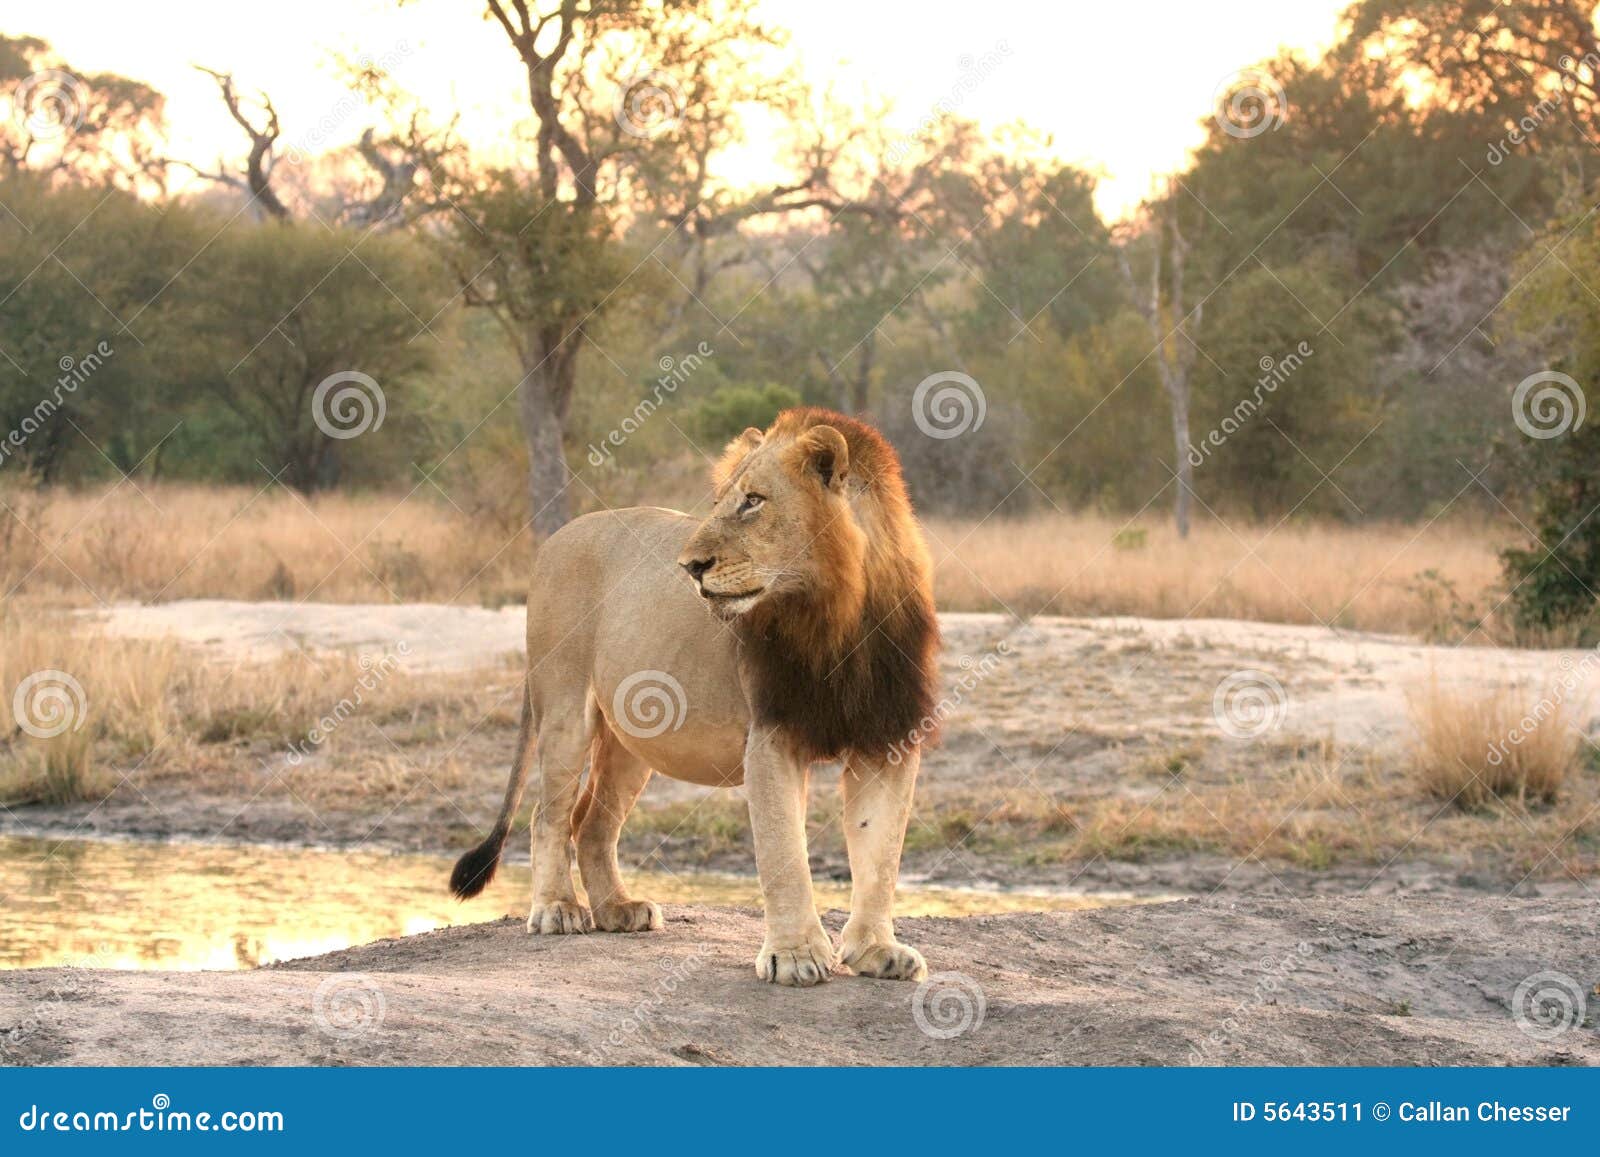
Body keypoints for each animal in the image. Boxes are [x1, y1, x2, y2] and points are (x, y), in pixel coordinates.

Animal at [449, 407, 940, 987]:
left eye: (753, 501)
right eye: (720, 501)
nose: (690, 566)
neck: (841, 616)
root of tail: (555, 537)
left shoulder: (888, 738)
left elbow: (880, 854)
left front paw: (876, 951)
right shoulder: (771, 736)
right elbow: (784, 852)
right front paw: (795, 955)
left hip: (632, 741)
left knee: (591, 821)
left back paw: (618, 910)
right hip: (566, 709)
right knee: (548, 814)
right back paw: (556, 909)